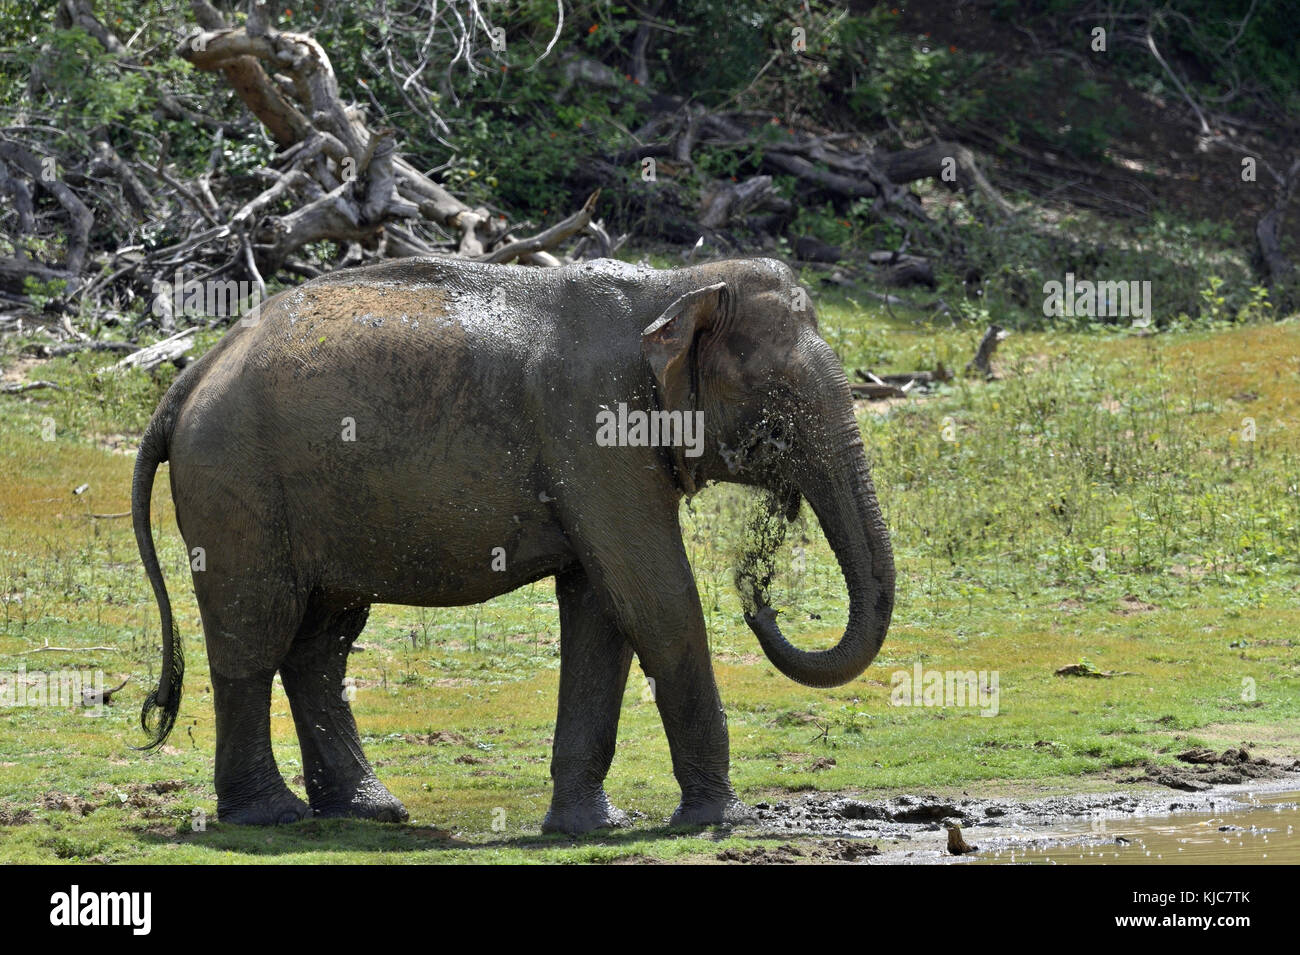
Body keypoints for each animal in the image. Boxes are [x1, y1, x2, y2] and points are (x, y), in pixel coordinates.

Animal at [131, 255, 895, 833]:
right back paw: (270, 816)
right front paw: (720, 821)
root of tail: (188, 377)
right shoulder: (592, 423)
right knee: (254, 634)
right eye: (778, 393)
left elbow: (604, 609)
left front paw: (591, 828)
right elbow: (654, 596)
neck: (673, 286)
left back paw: (368, 811)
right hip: (238, 481)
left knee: (321, 642)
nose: (760, 600)